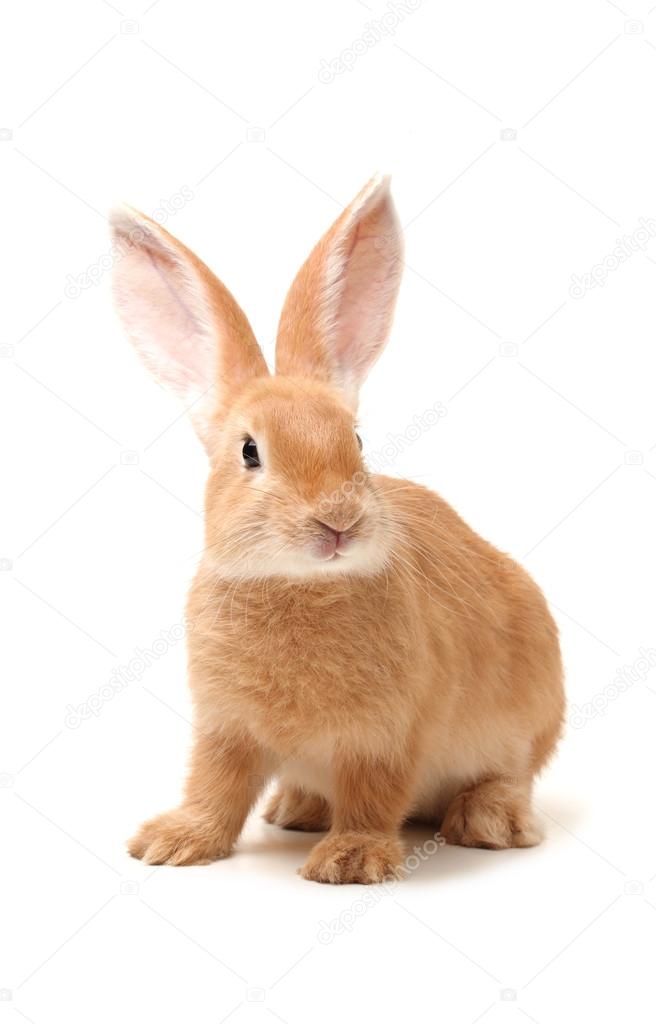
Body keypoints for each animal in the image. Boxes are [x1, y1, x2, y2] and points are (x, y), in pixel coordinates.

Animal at [110, 174, 564, 884]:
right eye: (249, 452)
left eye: (356, 441)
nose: (338, 520)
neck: (296, 585)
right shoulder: (225, 729)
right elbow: (215, 788)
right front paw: (173, 842)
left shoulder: (387, 736)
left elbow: (373, 796)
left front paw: (350, 860)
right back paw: (297, 809)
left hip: (528, 717)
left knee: (508, 776)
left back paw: (489, 822)